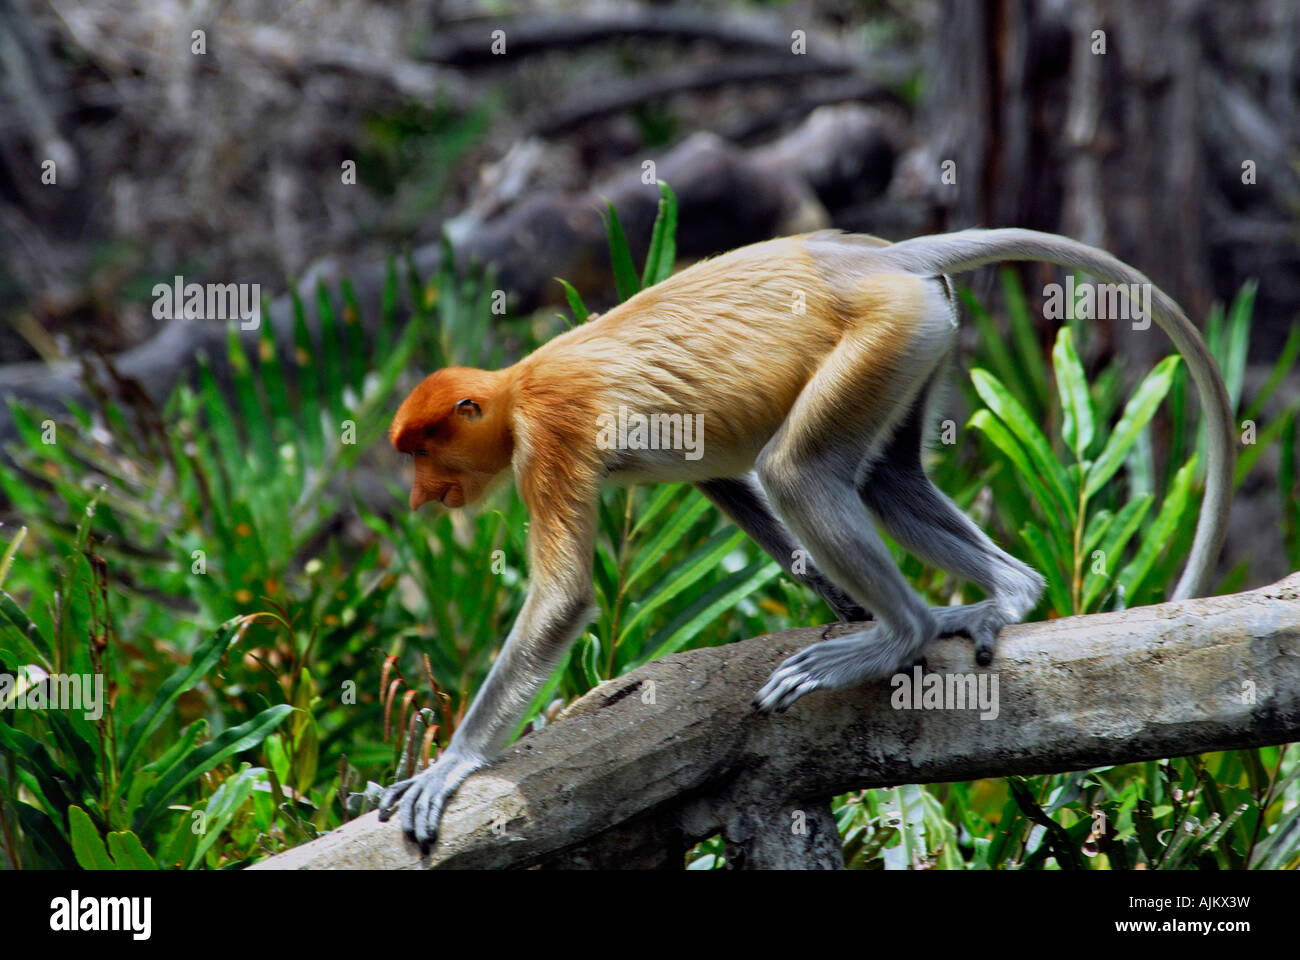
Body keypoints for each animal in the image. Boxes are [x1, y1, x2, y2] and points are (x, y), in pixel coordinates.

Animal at [378, 228, 1234, 852]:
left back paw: (900, 634)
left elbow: (561, 599)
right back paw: (1003, 596)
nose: (418, 495)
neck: (513, 389)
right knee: (885, 477)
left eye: (424, 449)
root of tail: (886, 256)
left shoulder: (549, 439)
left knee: (797, 469)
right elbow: (721, 477)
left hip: (886, 333)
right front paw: (826, 592)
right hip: (917, 343)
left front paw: (449, 767)